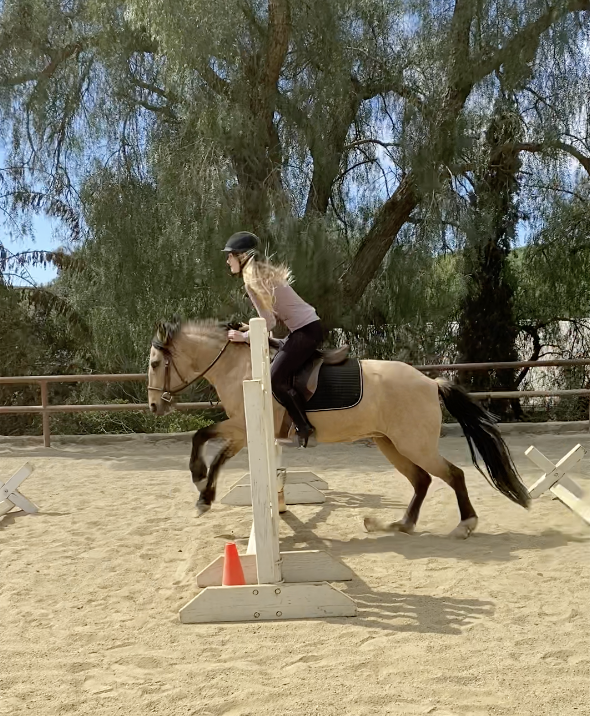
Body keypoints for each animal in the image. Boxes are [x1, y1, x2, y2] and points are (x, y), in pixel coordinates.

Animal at [147, 319, 530, 539]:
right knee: (422, 481)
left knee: (452, 475)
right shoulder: (243, 432)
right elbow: (215, 451)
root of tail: (429, 382)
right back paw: (398, 525)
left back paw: (465, 525)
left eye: (154, 363)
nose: (154, 406)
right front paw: (204, 493)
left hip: (414, 445)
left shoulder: (242, 426)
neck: (239, 365)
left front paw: (200, 487)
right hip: (390, 444)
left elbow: (203, 439)